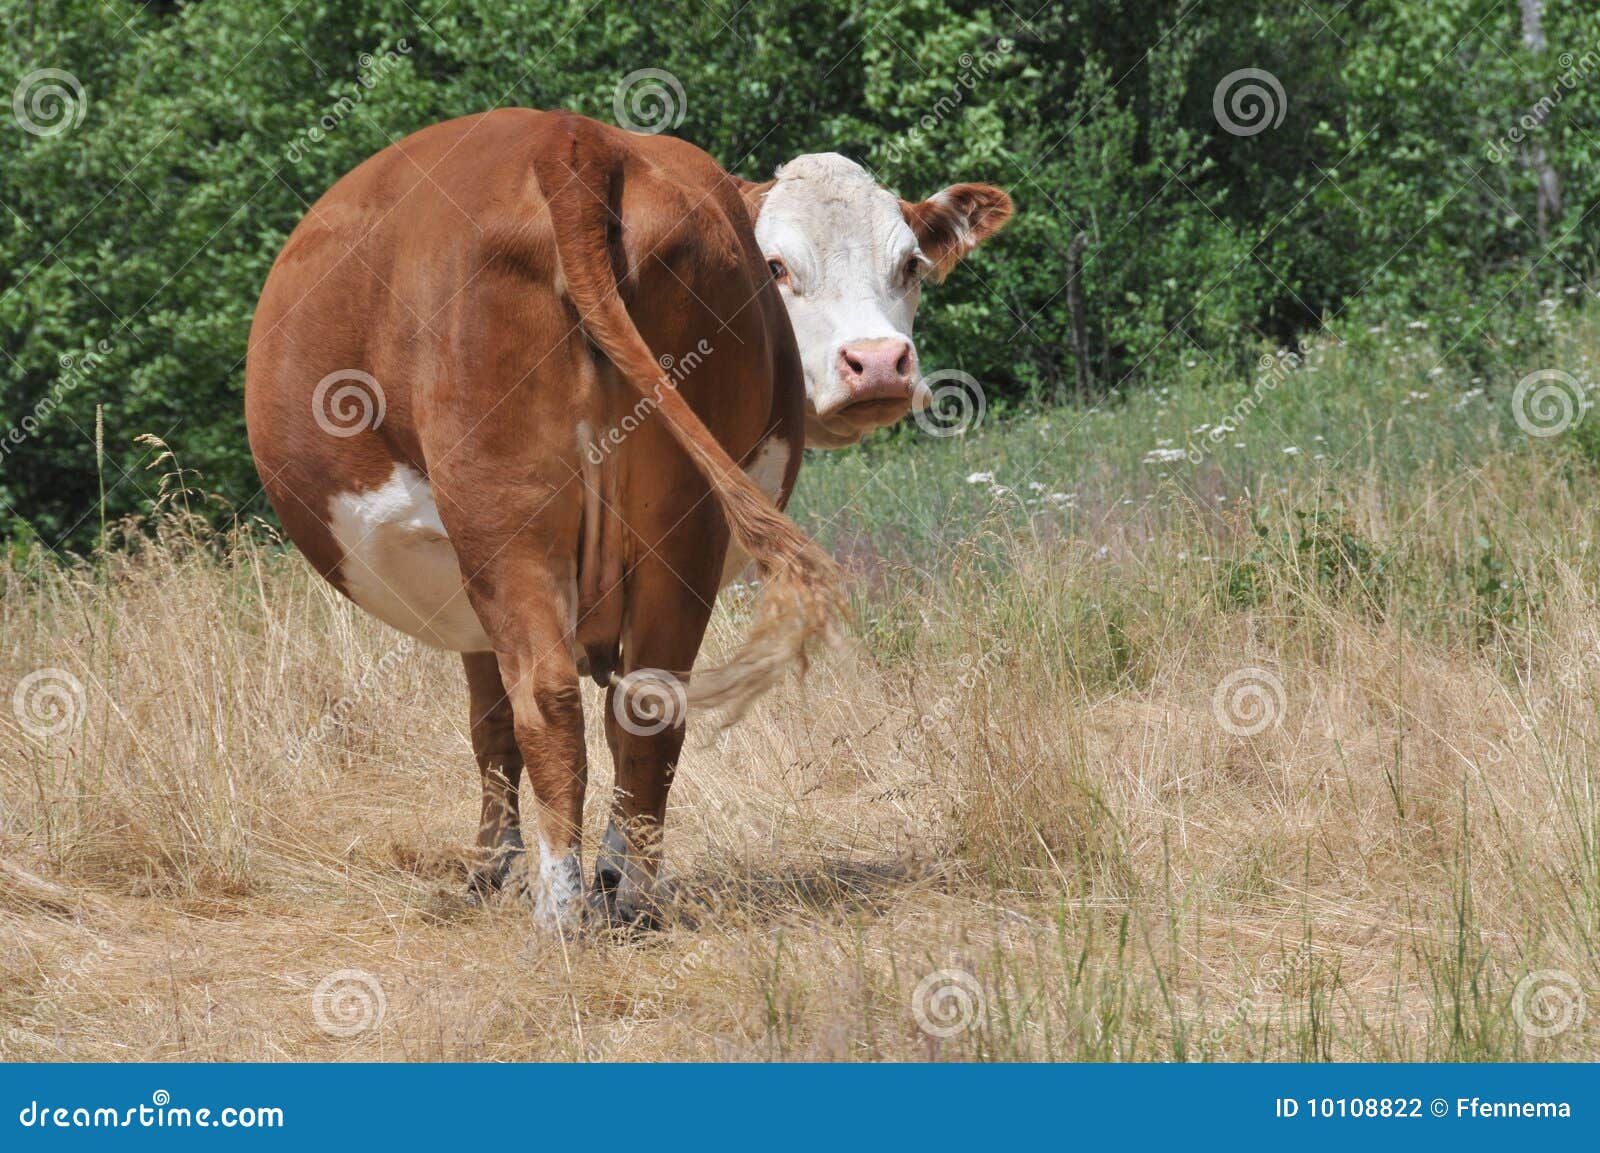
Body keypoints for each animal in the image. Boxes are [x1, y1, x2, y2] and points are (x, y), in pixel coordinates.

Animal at [245, 109, 1010, 932]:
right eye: (776, 267)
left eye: (910, 265)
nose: (878, 363)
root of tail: (572, 143)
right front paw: (587, 870)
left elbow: (492, 724)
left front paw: (489, 870)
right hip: (685, 520)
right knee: (651, 699)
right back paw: (633, 892)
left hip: (501, 517)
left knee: (547, 704)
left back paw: (559, 911)